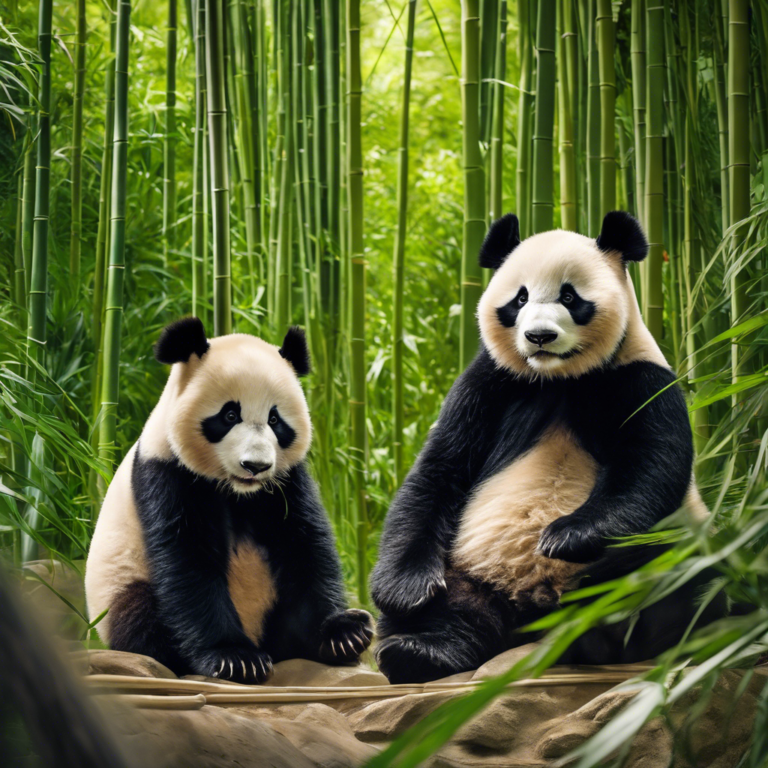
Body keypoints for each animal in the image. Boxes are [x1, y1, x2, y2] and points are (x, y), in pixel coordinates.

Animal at [85, 318, 372, 683]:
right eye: (230, 415)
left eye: (275, 420)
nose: (255, 466)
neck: (236, 491)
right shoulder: (168, 474)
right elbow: (189, 560)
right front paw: (235, 658)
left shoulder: (286, 482)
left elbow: (304, 544)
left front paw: (339, 635)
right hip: (120, 588)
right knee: (139, 612)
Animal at [371, 211, 723, 684]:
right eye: (519, 299)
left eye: (569, 296)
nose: (539, 336)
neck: (560, 378)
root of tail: (534, 618)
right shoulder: (489, 383)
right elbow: (439, 469)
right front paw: (406, 589)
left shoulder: (641, 379)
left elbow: (648, 469)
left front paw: (563, 536)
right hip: (468, 568)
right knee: (456, 609)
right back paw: (420, 651)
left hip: (663, 549)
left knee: (680, 576)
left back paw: (609, 635)